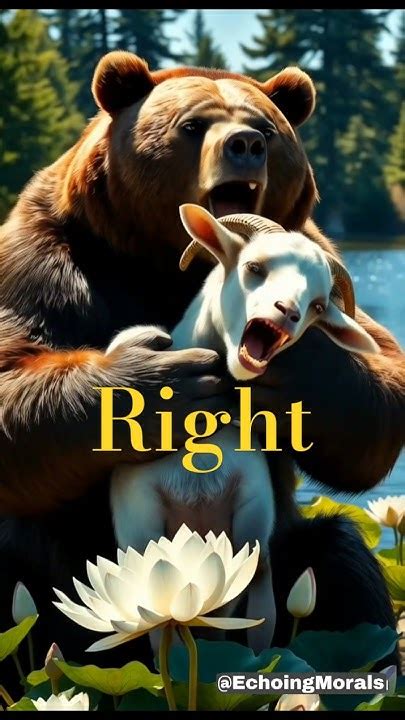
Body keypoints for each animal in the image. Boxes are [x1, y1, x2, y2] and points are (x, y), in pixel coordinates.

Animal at [108, 204, 379, 653]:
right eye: (254, 267)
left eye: (317, 306)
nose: (288, 312)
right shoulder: (138, 516)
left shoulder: (253, 507)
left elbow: (260, 605)